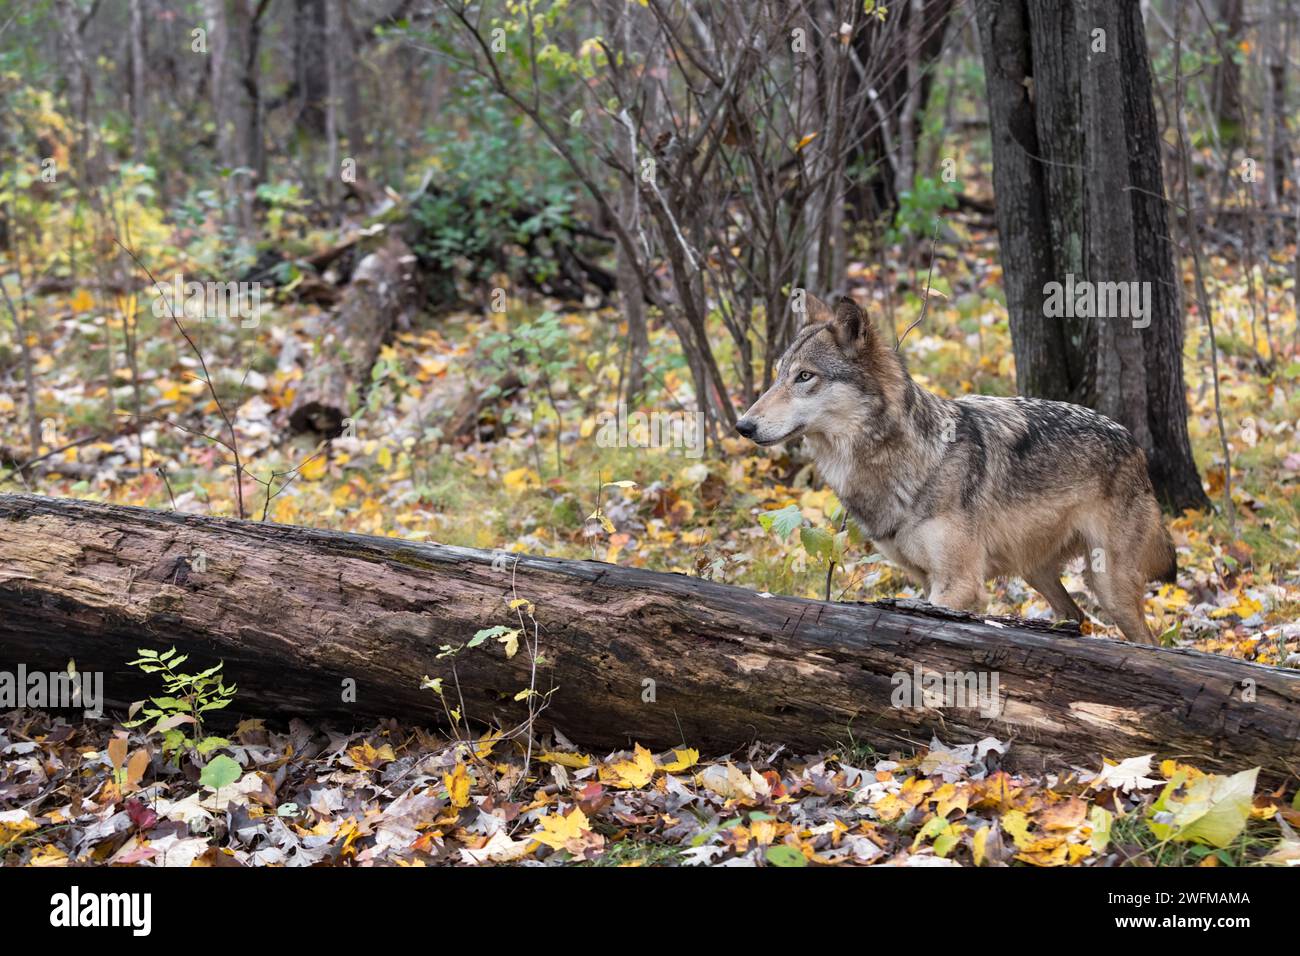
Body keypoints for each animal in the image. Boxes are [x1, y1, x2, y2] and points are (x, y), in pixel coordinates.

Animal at [735, 294, 1176, 644]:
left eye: (804, 377)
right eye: (777, 376)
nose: (743, 425)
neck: (909, 458)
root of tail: (1132, 443)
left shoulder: (960, 585)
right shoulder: (926, 580)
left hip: (1108, 584)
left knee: (1148, 642)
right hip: (1039, 574)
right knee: (1077, 618)